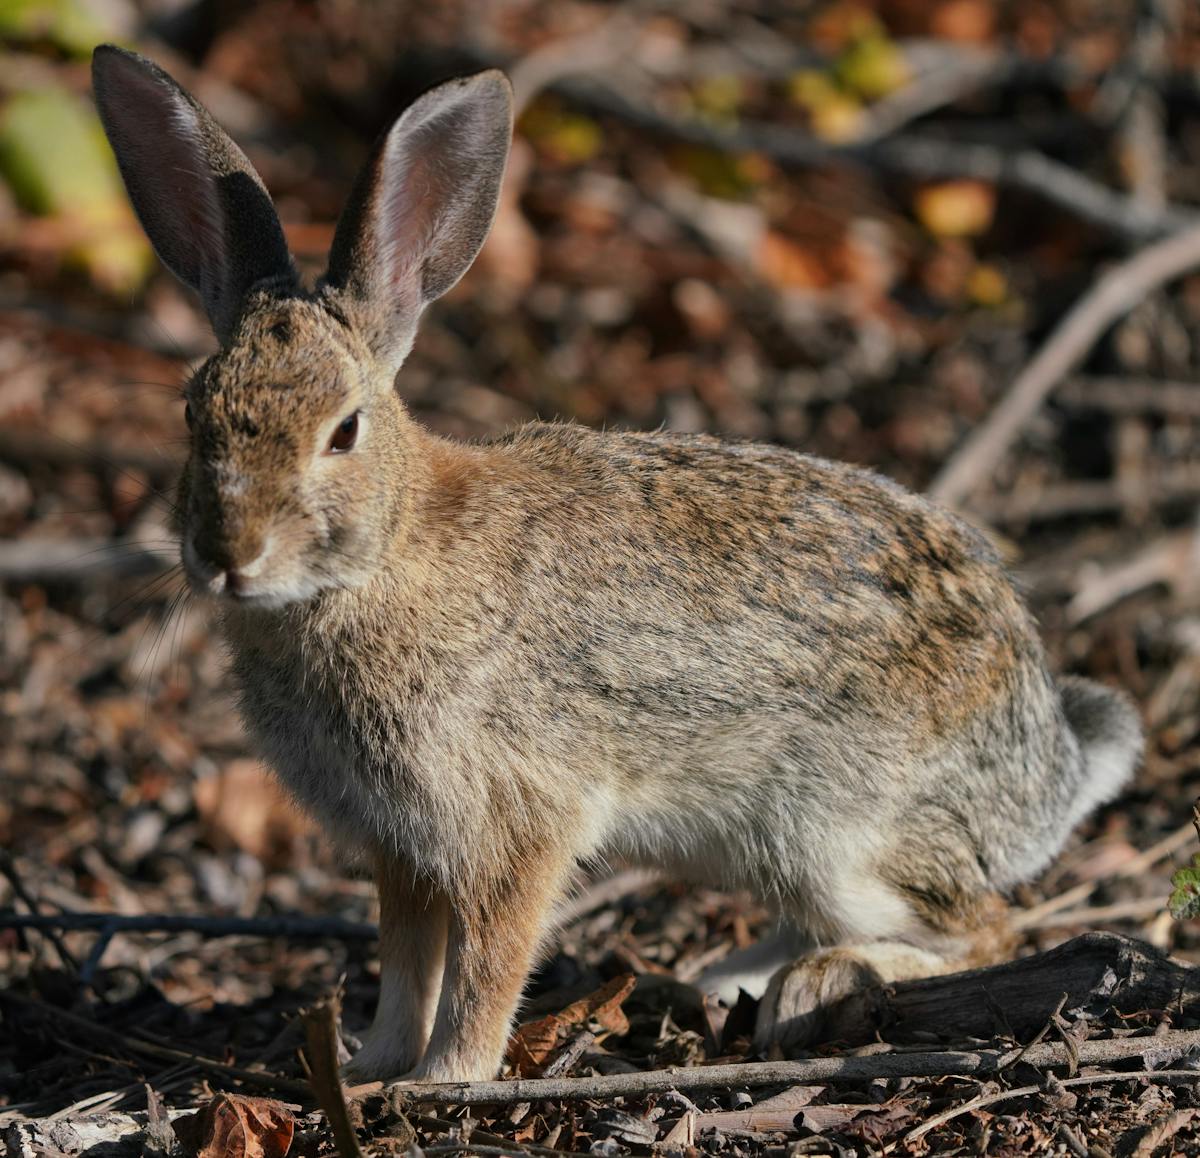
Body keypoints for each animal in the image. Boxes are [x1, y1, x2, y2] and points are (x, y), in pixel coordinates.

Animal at [92, 44, 1143, 1084]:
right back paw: (714, 977)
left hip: (840, 834)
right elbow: (407, 961)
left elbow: (487, 963)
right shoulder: (407, 846)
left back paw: (822, 981)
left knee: (984, 930)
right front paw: (373, 1070)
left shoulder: (518, 817)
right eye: (192, 410)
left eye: (343, 432)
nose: (228, 555)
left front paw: (447, 1081)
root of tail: (1050, 757)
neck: (382, 560)